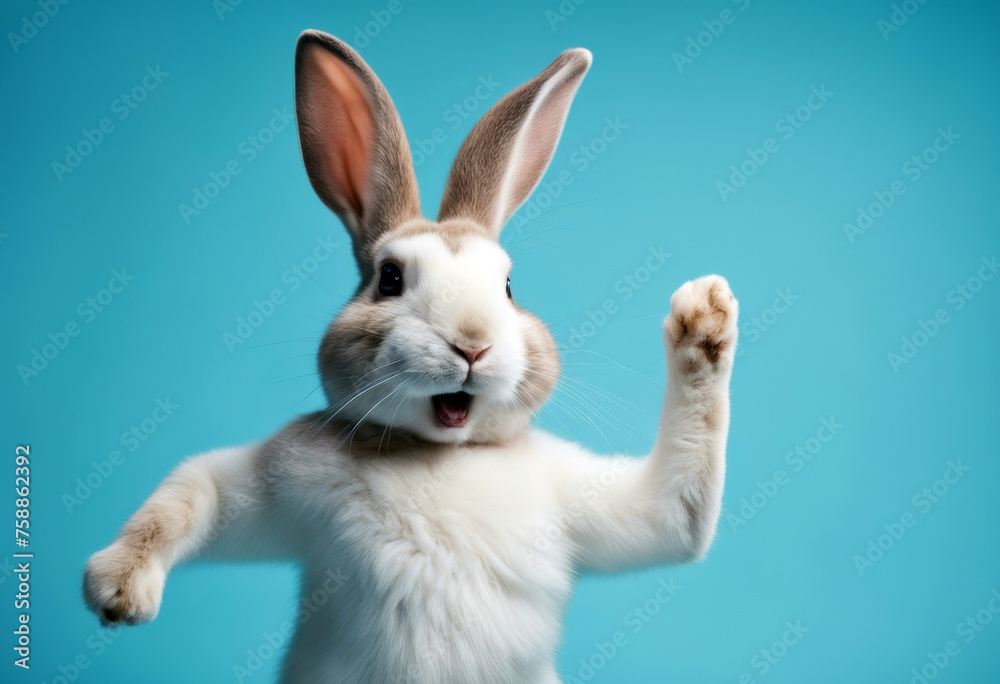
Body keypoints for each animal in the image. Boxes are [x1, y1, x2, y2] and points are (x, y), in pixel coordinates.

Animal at [83, 29, 738, 684]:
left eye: (508, 286)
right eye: (390, 278)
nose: (472, 343)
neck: (439, 456)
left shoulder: (598, 498)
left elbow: (677, 510)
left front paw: (705, 315)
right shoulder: (274, 479)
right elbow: (190, 494)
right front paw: (118, 589)